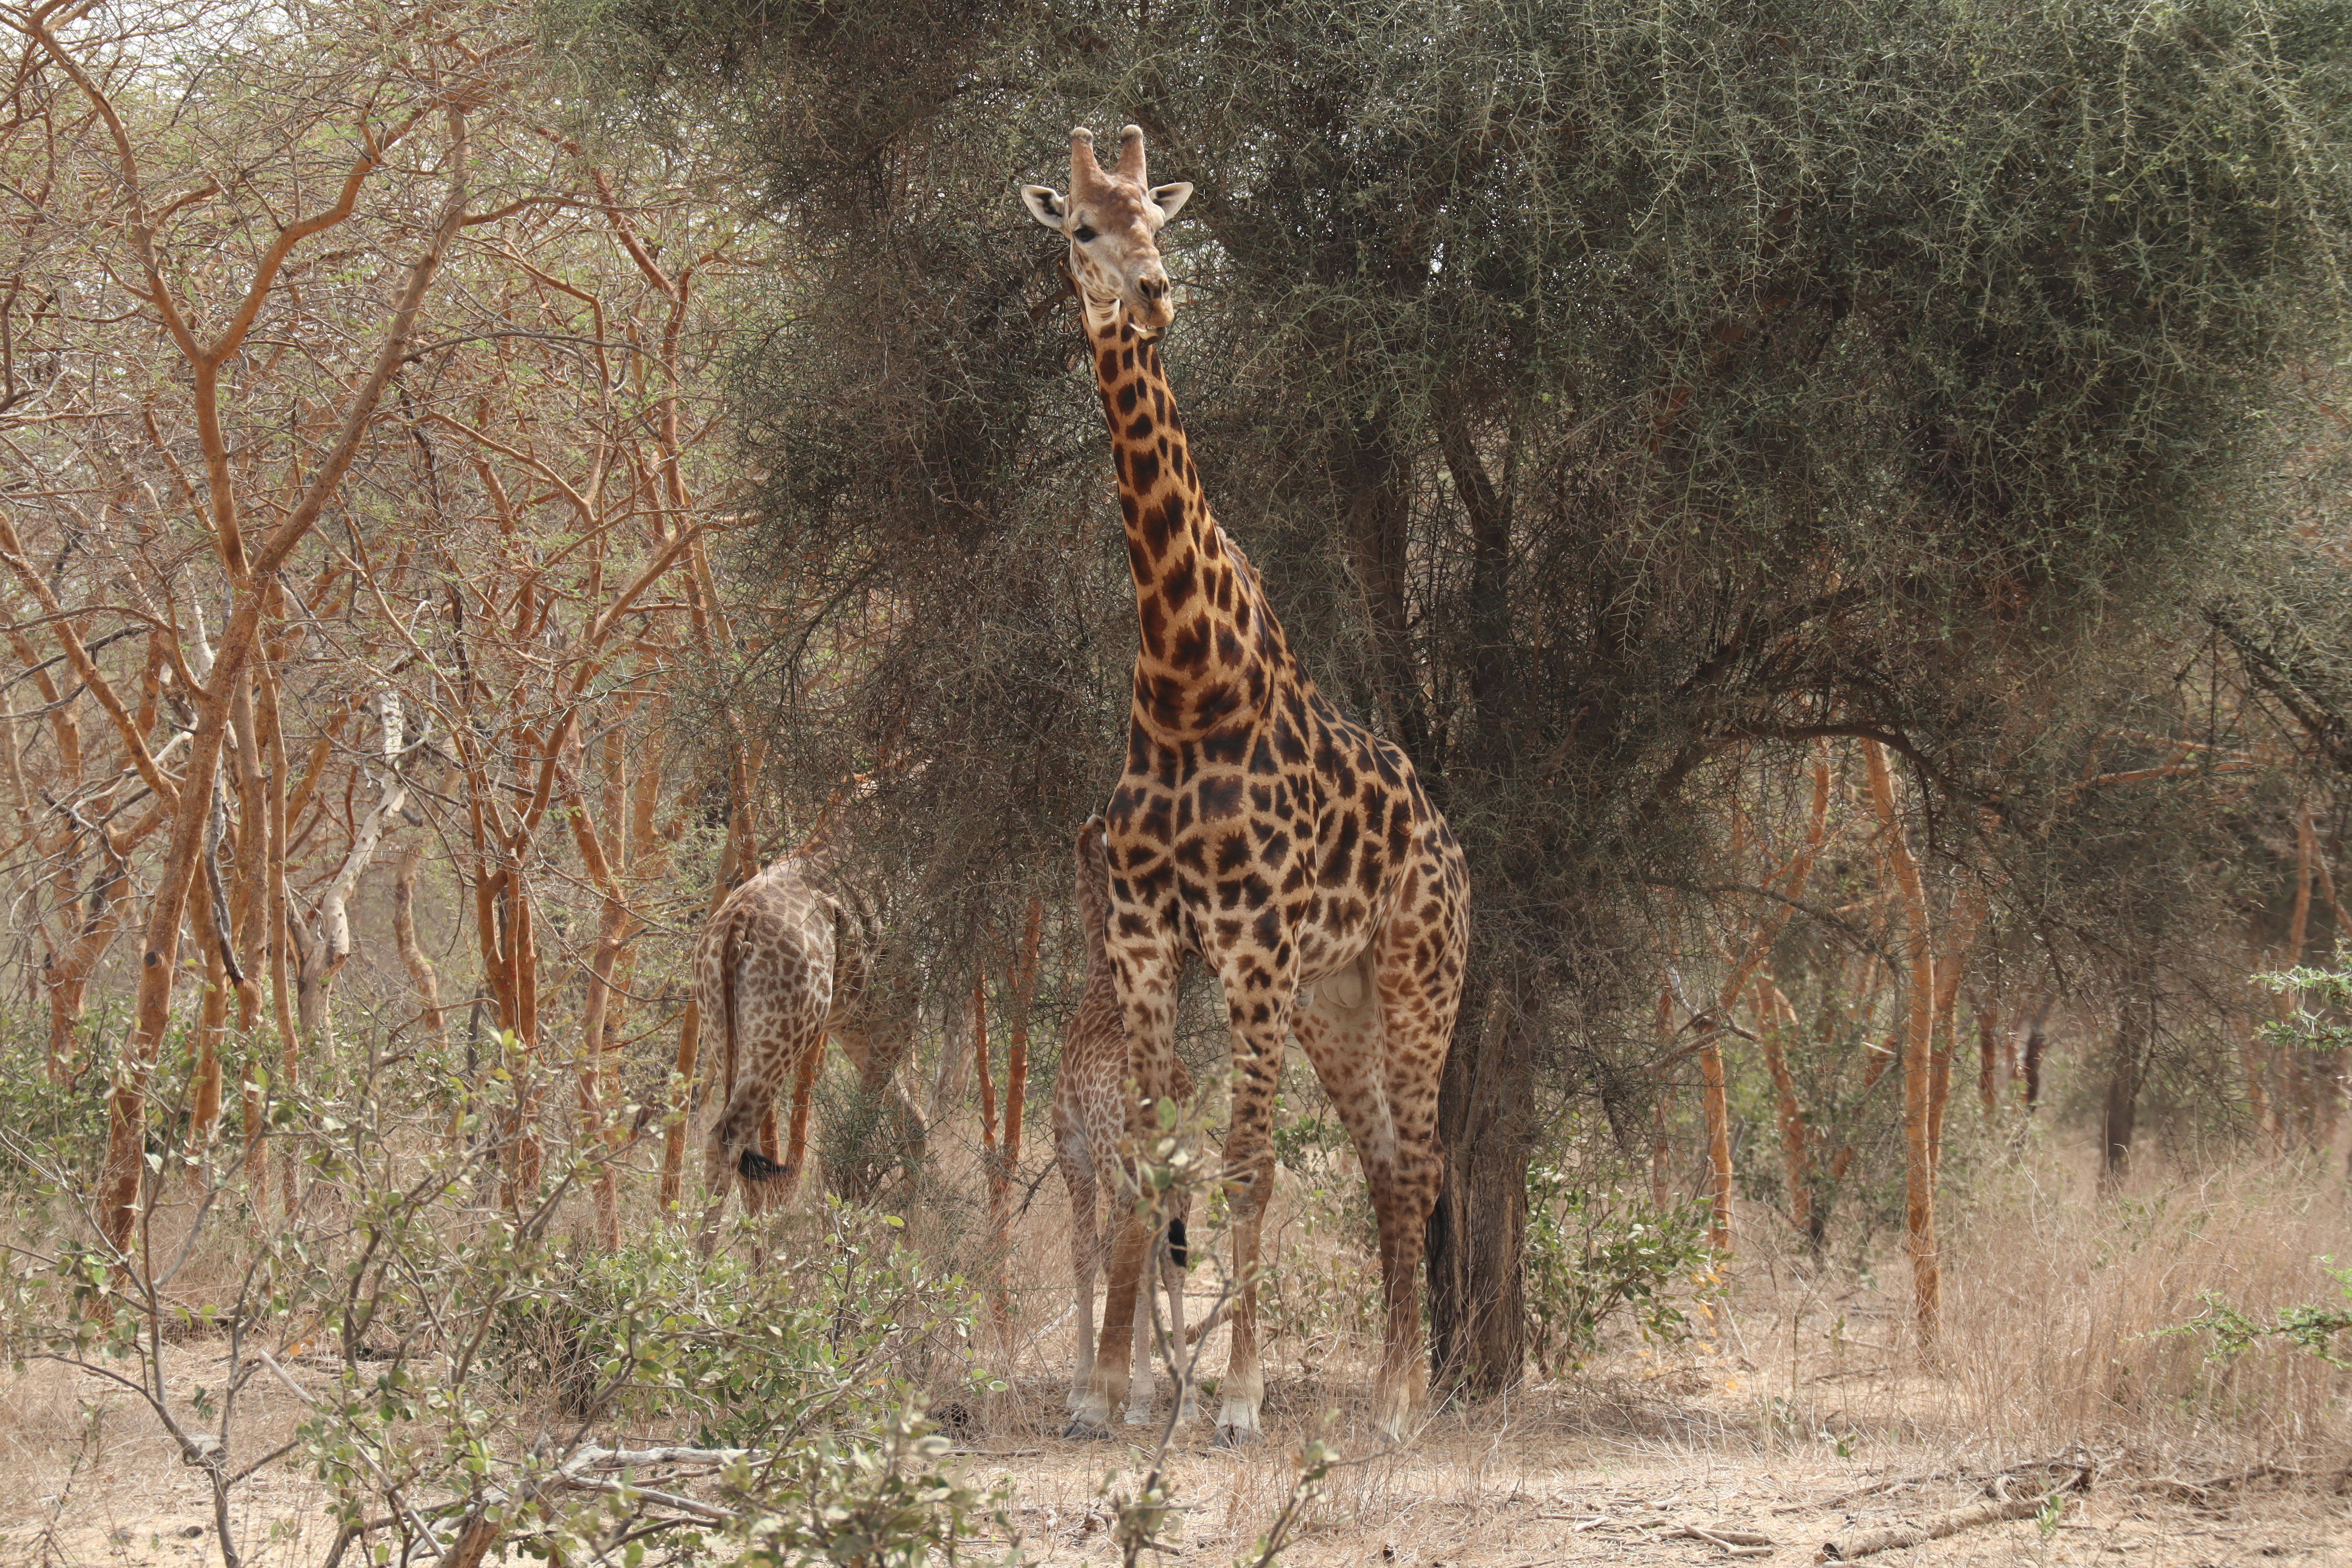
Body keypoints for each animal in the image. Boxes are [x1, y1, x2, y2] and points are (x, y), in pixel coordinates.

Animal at [1021, 127, 1471, 1446]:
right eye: (1082, 228)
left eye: (1158, 219)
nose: (1155, 292)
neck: (1185, 680)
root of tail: (1453, 848)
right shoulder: (1147, 941)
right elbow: (1147, 1155)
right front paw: (1110, 1390)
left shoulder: (1253, 949)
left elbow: (1247, 1167)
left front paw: (1235, 1399)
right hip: (1337, 997)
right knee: (1384, 1160)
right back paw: (1394, 1388)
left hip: (1417, 978)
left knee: (1423, 1161)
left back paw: (1396, 1402)